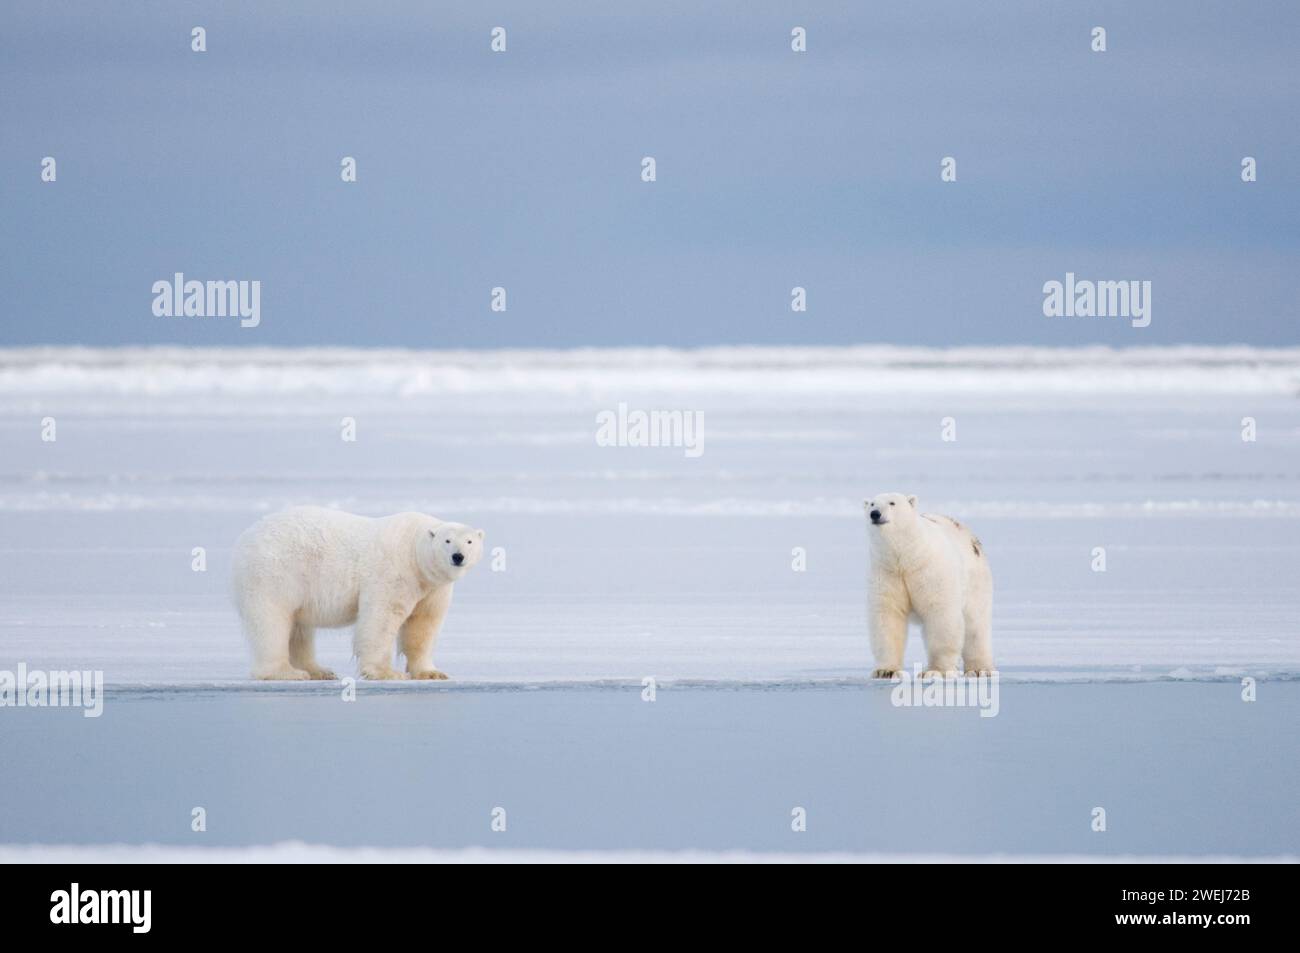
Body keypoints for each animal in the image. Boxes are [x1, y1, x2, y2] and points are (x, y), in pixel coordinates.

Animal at [231, 506, 485, 680]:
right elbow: (381, 618)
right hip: (275, 573)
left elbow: (423, 626)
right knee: (271, 620)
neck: (413, 551)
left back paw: (318, 670)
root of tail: (245, 538)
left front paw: (431, 673)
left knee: (299, 628)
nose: (458, 556)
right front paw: (386, 672)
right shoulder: (395, 572)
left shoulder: (432, 589)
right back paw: (287, 672)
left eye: (469, 541)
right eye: (447, 540)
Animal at [864, 492, 994, 678]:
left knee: (975, 625)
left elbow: (940, 615)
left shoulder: (930, 570)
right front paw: (886, 670)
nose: (875, 514)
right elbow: (887, 617)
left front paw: (934, 671)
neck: (907, 557)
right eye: (872, 504)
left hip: (976, 581)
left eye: (892, 503)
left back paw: (978, 669)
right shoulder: (887, 573)